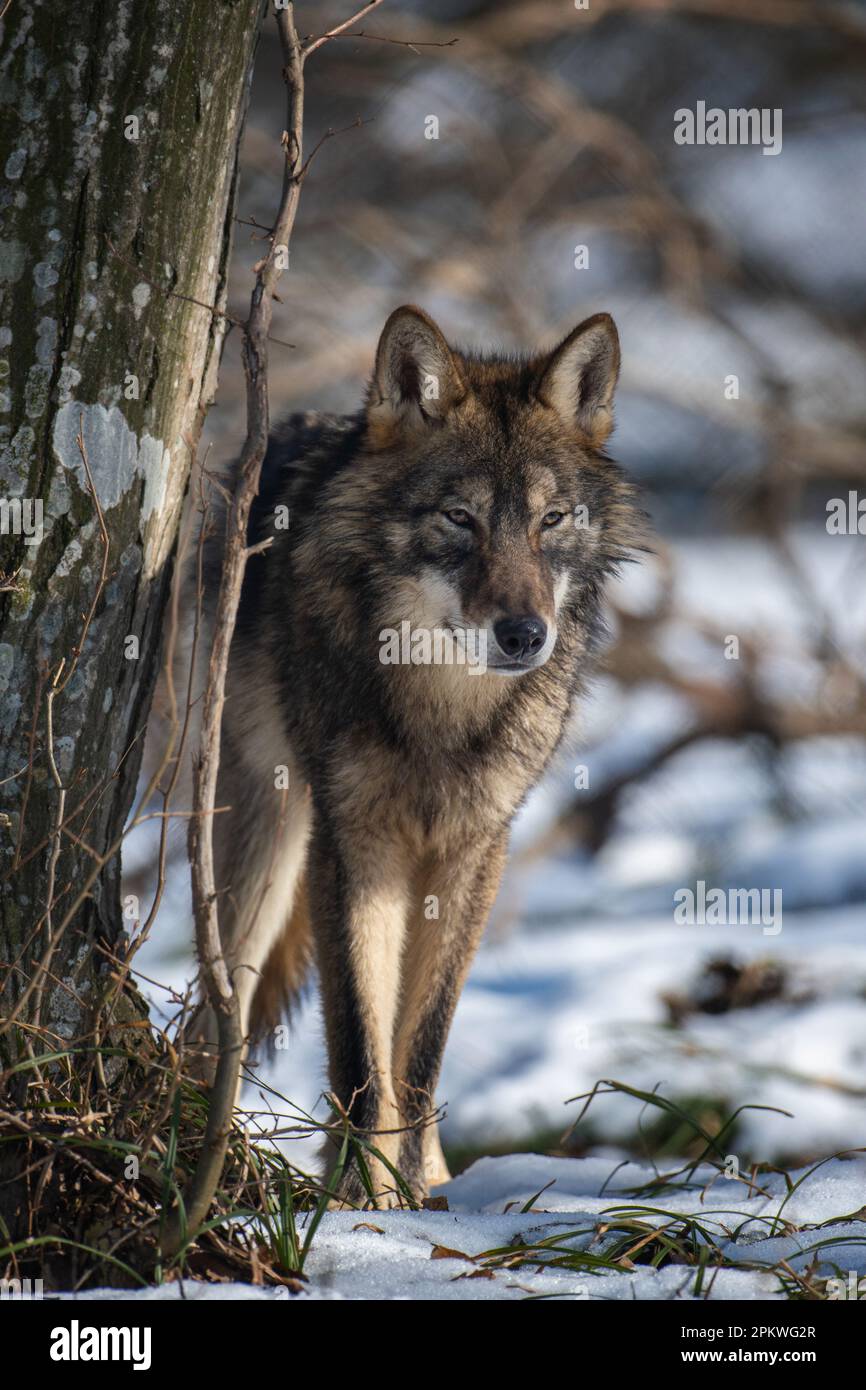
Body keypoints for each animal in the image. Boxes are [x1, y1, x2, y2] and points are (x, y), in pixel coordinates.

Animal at [195, 305, 640, 1207]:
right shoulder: (352, 846)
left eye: (550, 520)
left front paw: (418, 1190)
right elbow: (362, 1052)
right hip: (266, 850)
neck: (443, 707)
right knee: (223, 1003)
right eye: (459, 519)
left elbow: (422, 1046)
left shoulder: (476, 848)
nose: (524, 635)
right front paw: (363, 1201)